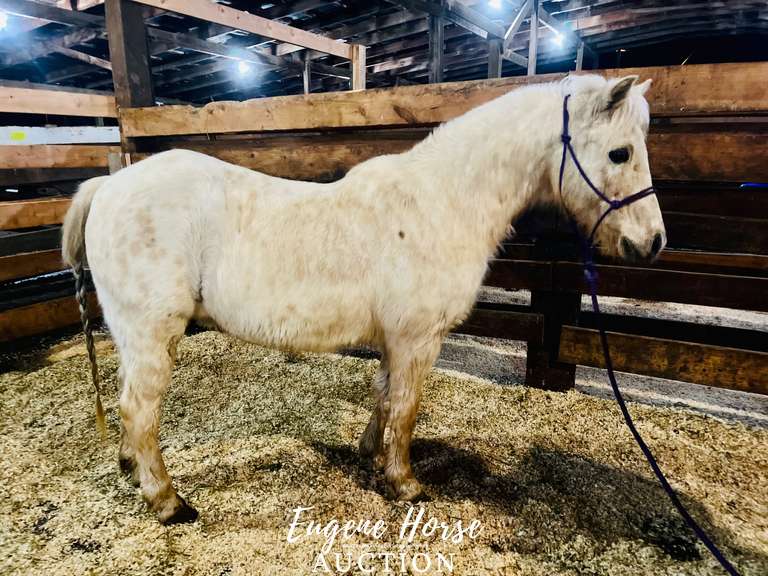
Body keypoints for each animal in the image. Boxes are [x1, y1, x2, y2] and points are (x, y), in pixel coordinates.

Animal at [62, 73, 665, 524]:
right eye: (620, 152)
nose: (652, 242)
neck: (441, 201)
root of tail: (108, 186)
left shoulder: (395, 341)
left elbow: (383, 399)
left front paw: (371, 456)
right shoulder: (418, 339)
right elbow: (406, 408)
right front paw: (404, 484)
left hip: (133, 335)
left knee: (129, 407)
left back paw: (131, 469)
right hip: (153, 333)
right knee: (140, 411)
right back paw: (168, 503)